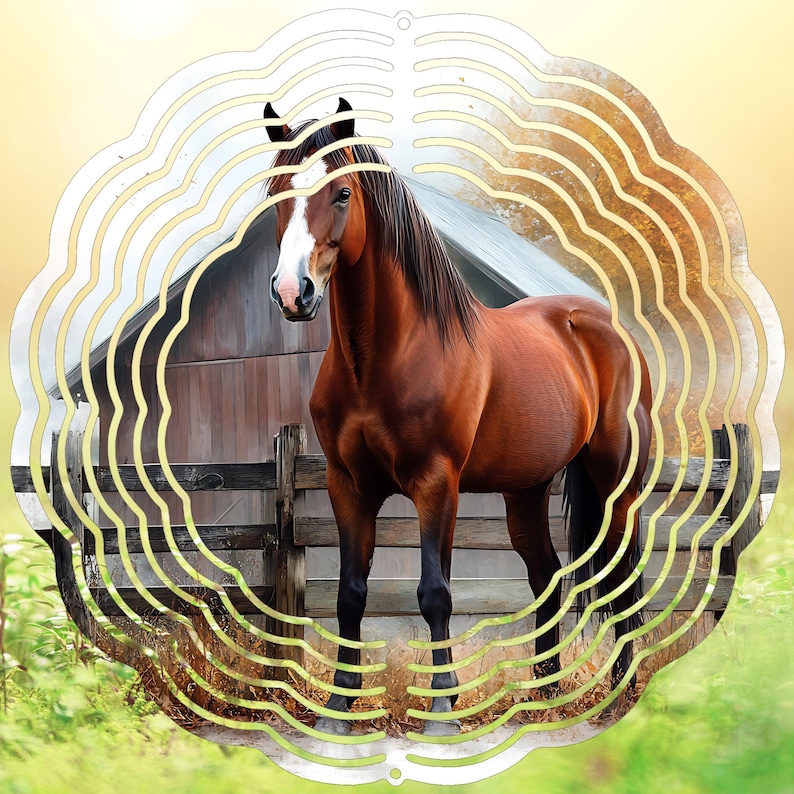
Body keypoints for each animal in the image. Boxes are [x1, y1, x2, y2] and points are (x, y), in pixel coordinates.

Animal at [263, 98, 653, 735]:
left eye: (342, 194)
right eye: (276, 193)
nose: (294, 293)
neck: (384, 359)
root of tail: (602, 323)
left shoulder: (435, 484)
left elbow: (435, 593)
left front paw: (443, 711)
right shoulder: (348, 487)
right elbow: (350, 593)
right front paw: (338, 709)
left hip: (615, 481)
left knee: (622, 578)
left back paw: (621, 692)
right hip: (526, 490)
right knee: (545, 578)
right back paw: (544, 695)